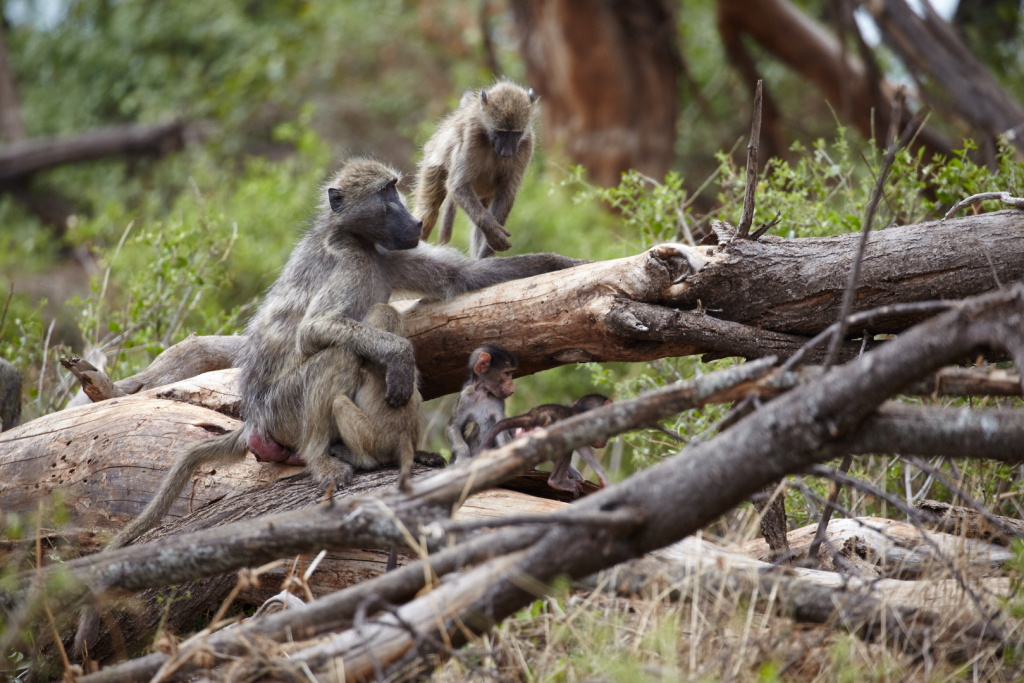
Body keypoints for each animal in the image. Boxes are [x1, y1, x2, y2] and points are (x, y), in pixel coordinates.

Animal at [415, 79, 537, 259]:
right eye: (501, 132)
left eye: (516, 133)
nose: (508, 153)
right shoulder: (471, 135)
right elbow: (458, 185)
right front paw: (493, 235)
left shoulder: (526, 144)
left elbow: (507, 192)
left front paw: (487, 250)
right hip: (434, 164)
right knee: (428, 211)